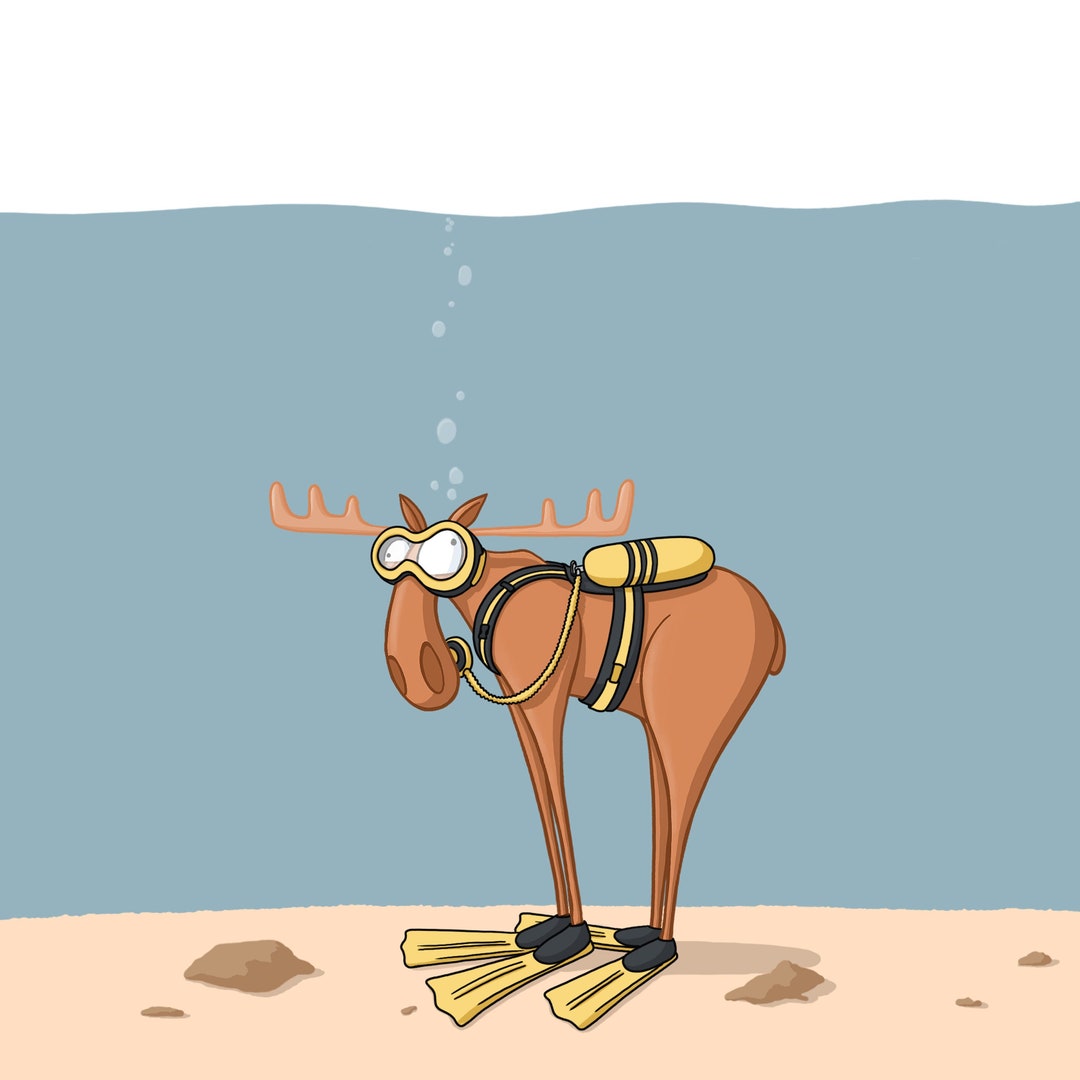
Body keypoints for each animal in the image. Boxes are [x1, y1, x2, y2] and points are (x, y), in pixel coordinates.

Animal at [269, 479, 785, 1028]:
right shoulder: (514, 700)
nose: (422, 661)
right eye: (390, 555)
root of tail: (772, 623)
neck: (495, 590)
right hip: (655, 718)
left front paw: (571, 939)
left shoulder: (544, 696)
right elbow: (540, 794)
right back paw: (637, 936)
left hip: (687, 715)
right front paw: (546, 929)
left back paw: (652, 952)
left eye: (446, 552)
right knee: (662, 808)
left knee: (682, 806)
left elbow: (557, 795)